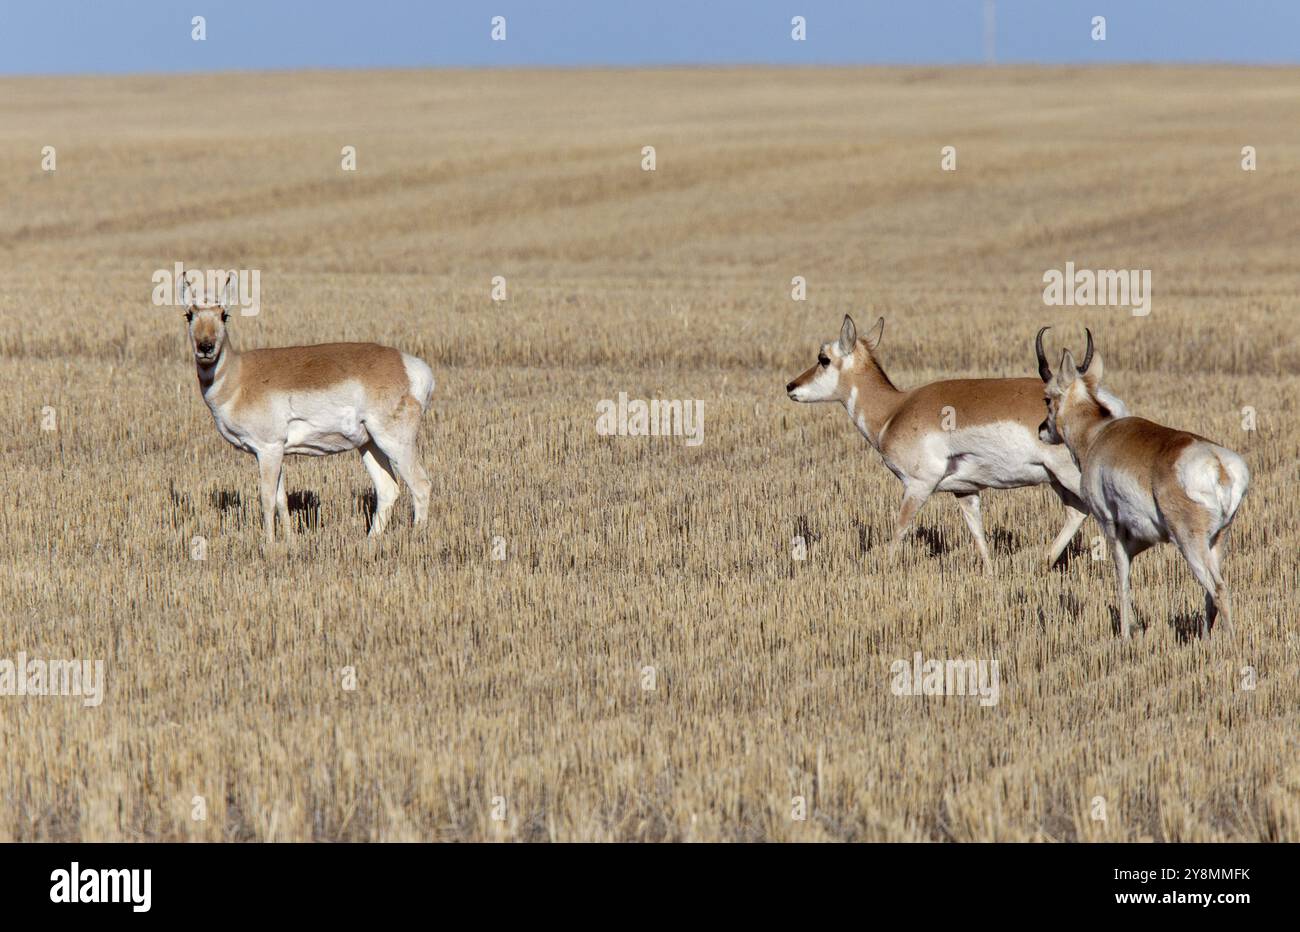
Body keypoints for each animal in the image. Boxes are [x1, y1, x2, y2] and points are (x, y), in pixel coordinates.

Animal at [181, 272, 434, 541]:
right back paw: (369, 542)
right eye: (189, 314)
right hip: (369, 444)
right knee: (388, 489)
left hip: (394, 442)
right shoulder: (275, 452)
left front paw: (269, 545)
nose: (205, 347)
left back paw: (417, 537)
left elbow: (267, 499)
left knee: (421, 485)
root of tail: (410, 364)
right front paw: (290, 542)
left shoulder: (268, 449)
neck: (238, 376)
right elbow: (281, 500)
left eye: (224, 315)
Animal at [785, 315, 1090, 573]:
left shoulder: (918, 486)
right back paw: (1042, 563)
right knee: (1077, 512)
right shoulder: (965, 492)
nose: (790, 386)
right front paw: (992, 575)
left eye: (823, 358)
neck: (894, 410)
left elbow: (899, 530)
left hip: (1069, 477)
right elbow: (979, 537)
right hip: (1056, 480)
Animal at [1036, 329, 1248, 638]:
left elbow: (1122, 581)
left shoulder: (1110, 526)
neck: (1096, 434)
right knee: (1210, 594)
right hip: (1218, 541)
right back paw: (1206, 640)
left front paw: (1126, 634)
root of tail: (1219, 465)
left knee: (1218, 589)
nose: (1041, 430)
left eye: (1047, 398)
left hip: (1190, 543)